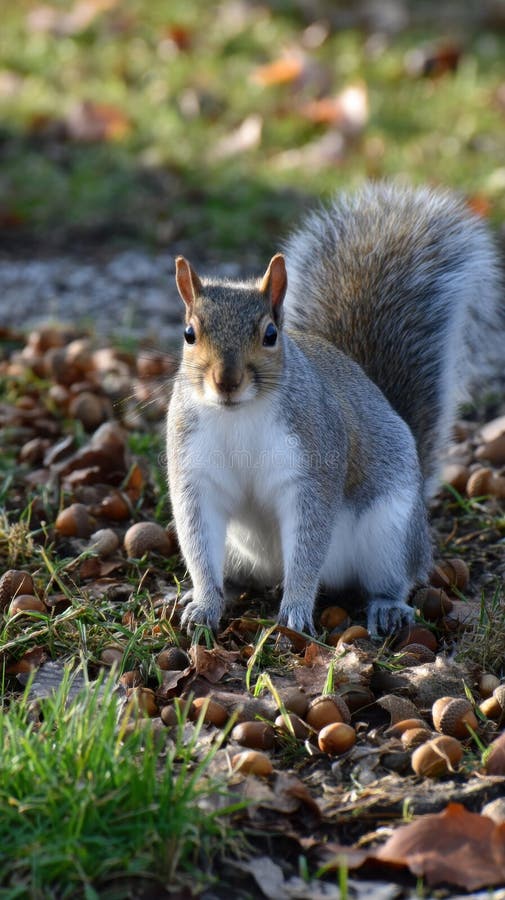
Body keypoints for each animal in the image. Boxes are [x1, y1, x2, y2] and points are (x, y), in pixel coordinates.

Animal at [166, 181, 503, 637]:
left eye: (270, 334)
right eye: (189, 334)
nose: (227, 381)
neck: (239, 416)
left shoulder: (313, 465)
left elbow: (309, 544)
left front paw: (295, 608)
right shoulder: (195, 473)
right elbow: (198, 541)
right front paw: (203, 603)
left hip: (390, 531)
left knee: (392, 579)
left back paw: (387, 608)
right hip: (242, 551)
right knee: (234, 573)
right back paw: (215, 592)